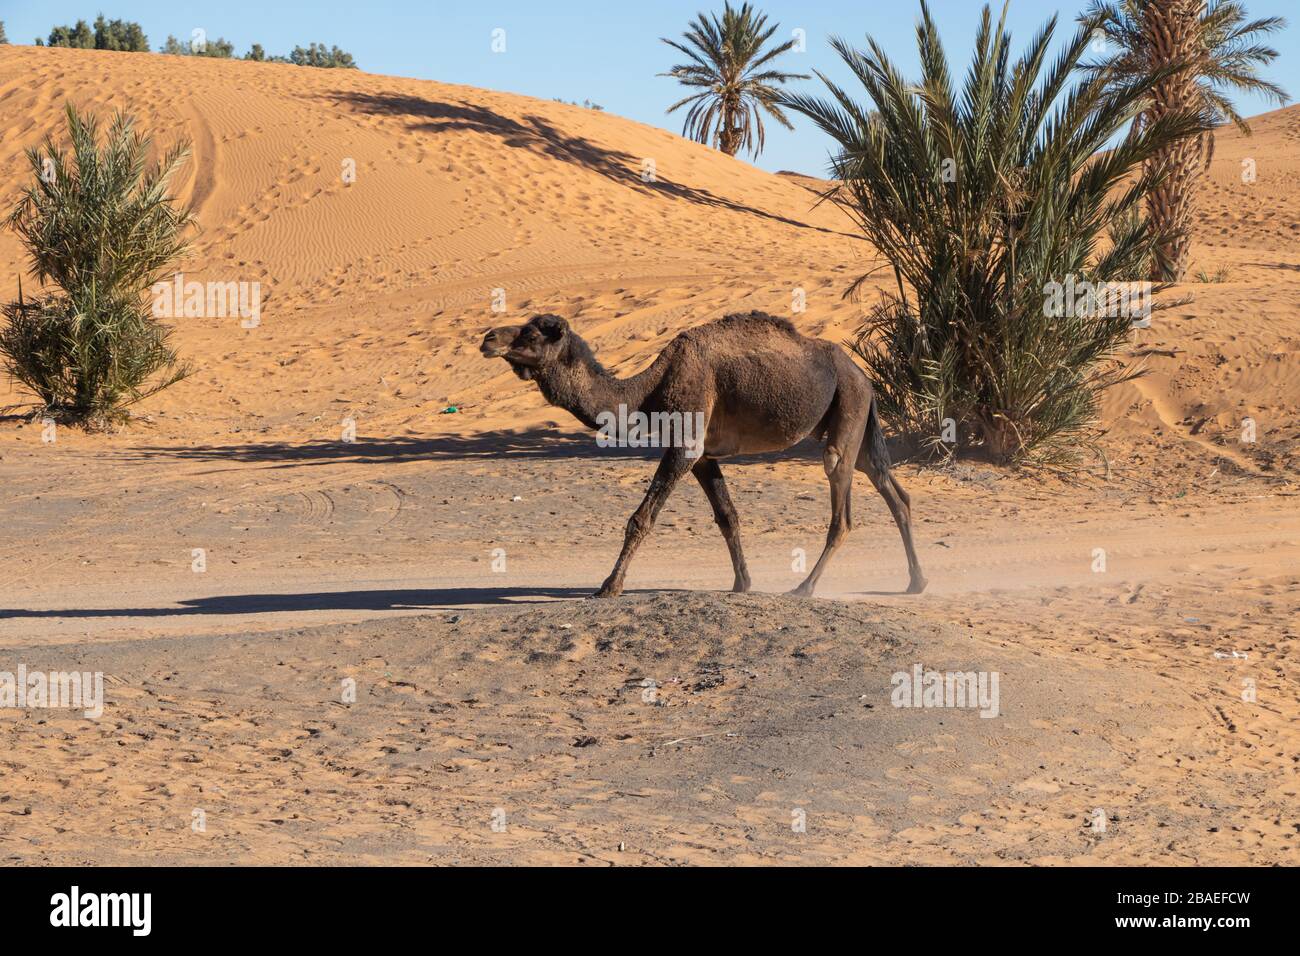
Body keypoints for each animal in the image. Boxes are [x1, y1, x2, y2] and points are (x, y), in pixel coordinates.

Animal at [480, 311, 926, 598]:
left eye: (531, 335)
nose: (487, 338)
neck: (649, 389)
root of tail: (864, 375)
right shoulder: (704, 454)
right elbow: (728, 516)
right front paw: (743, 583)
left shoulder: (684, 444)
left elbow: (641, 519)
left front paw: (609, 586)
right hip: (855, 420)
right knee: (891, 488)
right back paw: (915, 582)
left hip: (848, 408)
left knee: (842, 503)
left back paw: (804, 587)